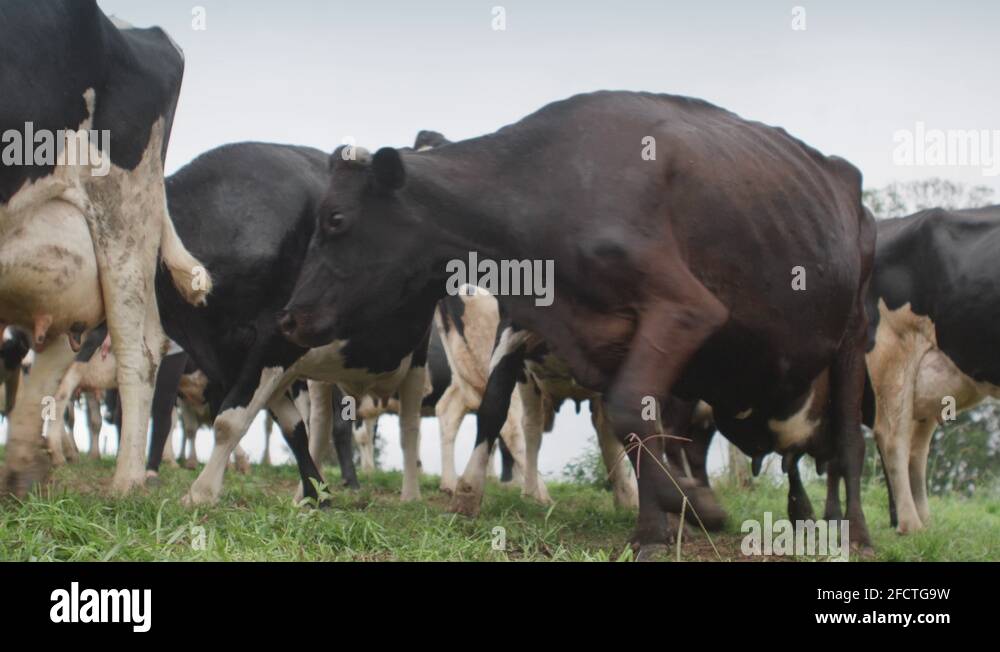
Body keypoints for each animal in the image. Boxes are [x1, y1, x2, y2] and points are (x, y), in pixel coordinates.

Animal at [280, 91, 876, 557]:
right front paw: (668, 519)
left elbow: (630, 416)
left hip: (849, 338)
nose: (288, 316)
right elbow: (633, 425)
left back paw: (855, 534)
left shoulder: (685, 309)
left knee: (848, 443)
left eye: (335, 219)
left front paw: (675, 515)